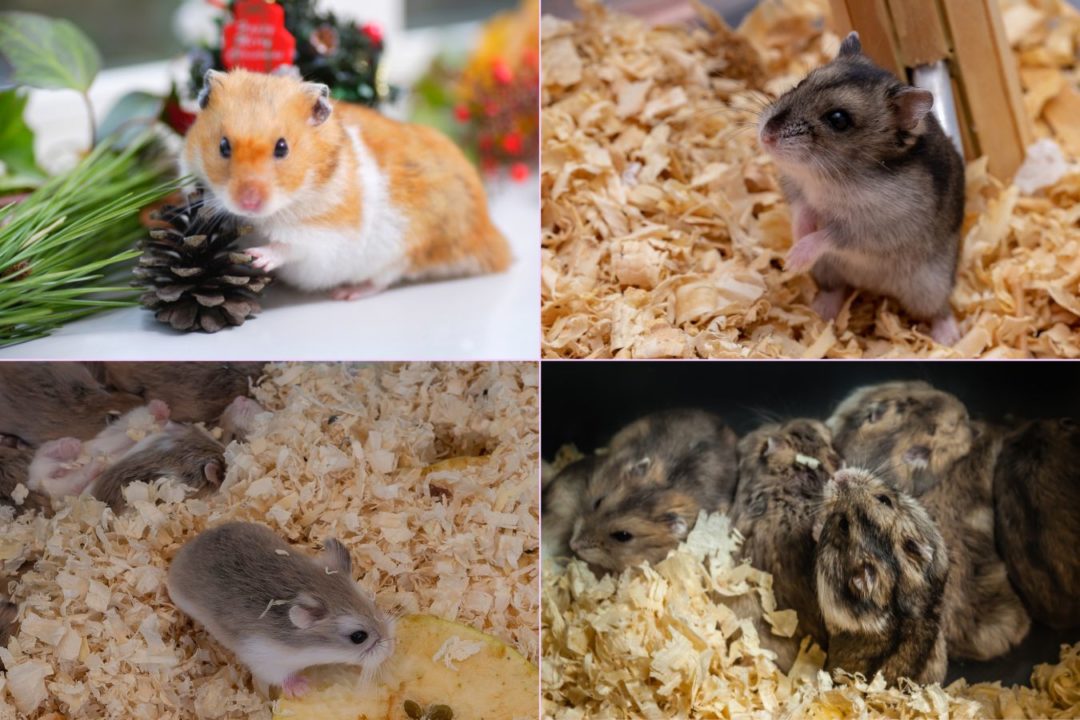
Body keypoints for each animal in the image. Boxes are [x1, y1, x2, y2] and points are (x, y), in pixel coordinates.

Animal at [167, 522, 394, 697]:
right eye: (358, 637)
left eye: (373, 603)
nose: (390, 651)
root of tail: (184, 551)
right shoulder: (265, 658)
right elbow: (280, 676)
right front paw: (302, 689)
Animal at [182, 69, 511, 300]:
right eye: (224, 146)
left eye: (282, 147)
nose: (248, 203)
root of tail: (489, 235)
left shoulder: (325, 237)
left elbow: (289, 245)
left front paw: (257, 257)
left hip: (403, 251)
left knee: (383, 279)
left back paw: (347, 293)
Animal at [759, 32, 965, 345]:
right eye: (801, 83)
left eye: (838, 119)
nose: (766, 136)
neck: (827, 176)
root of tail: (872, 286)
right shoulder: (796, 191)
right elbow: (803, 212)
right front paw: (793, 245)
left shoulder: (870, 230)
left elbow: (829, 235)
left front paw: (793, 260)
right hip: (828, 269)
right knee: (836, 287)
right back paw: (821, 310)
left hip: (931, 286)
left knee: (938, 310)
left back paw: (948, 339)